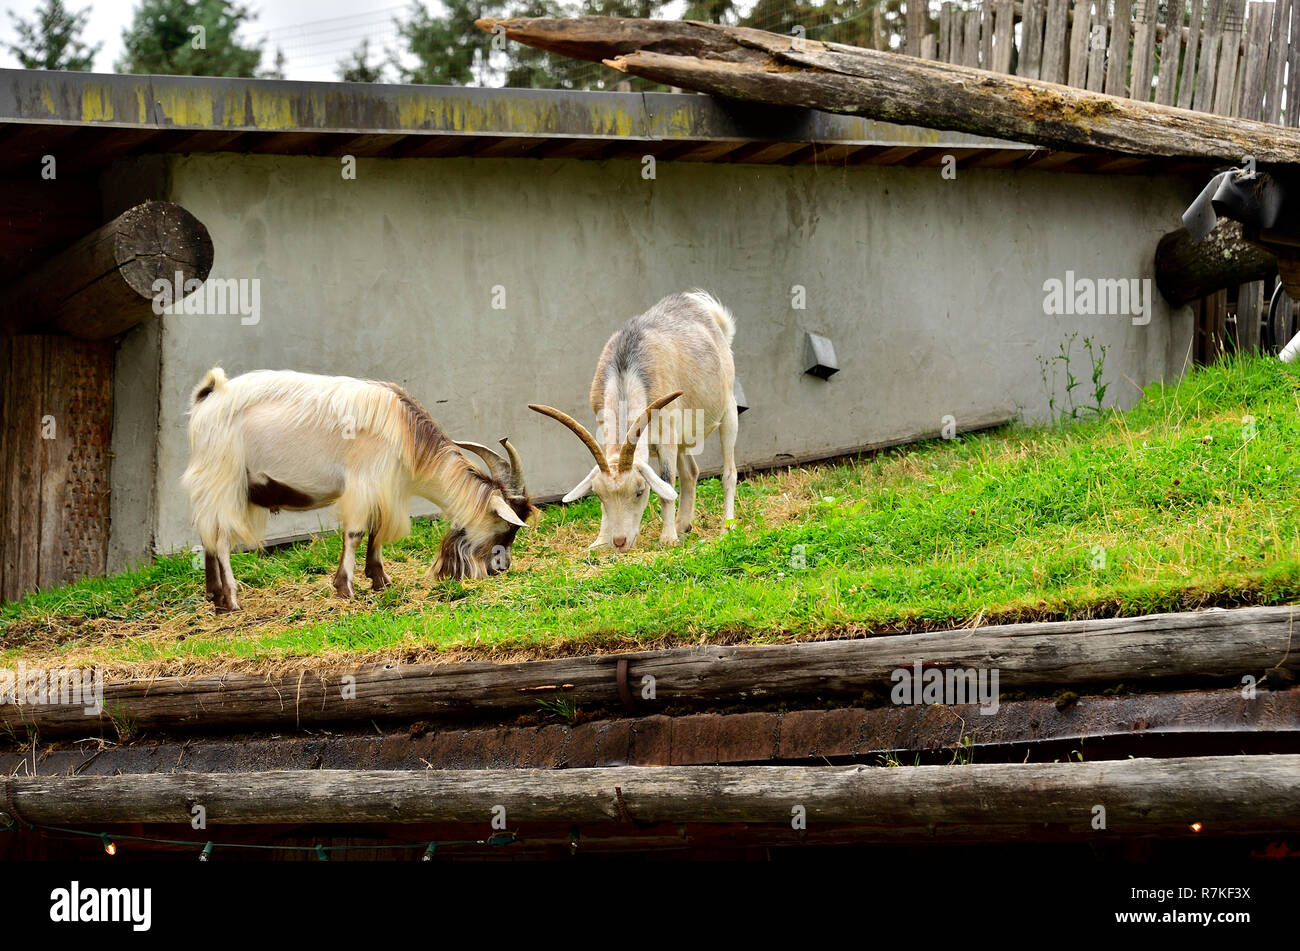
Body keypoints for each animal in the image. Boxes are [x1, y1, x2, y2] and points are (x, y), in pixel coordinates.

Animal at [182, 368, 536, 612]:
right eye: (506, 526)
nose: (500, 569)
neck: (407, 433)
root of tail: (208, 395)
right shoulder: (362, 484)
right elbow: (354, 533)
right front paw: (346, 588)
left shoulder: (383, 490)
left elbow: (376, 533)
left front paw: (380, 580)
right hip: (224, 481)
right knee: (221, 540)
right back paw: (231, 600)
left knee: (207, 535)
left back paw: (213, 594)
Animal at [529, 290, 738, 552]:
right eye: (600, 495)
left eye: (640, 491)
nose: (620, 542)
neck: (625, 370)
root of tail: (706, 312)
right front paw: (600, 541)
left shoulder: (666, 436)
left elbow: (666, 485)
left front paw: (667, 538)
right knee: (691, 472)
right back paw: (683, 525)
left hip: (728, 410)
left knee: (729, 473)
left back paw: (726, 527)